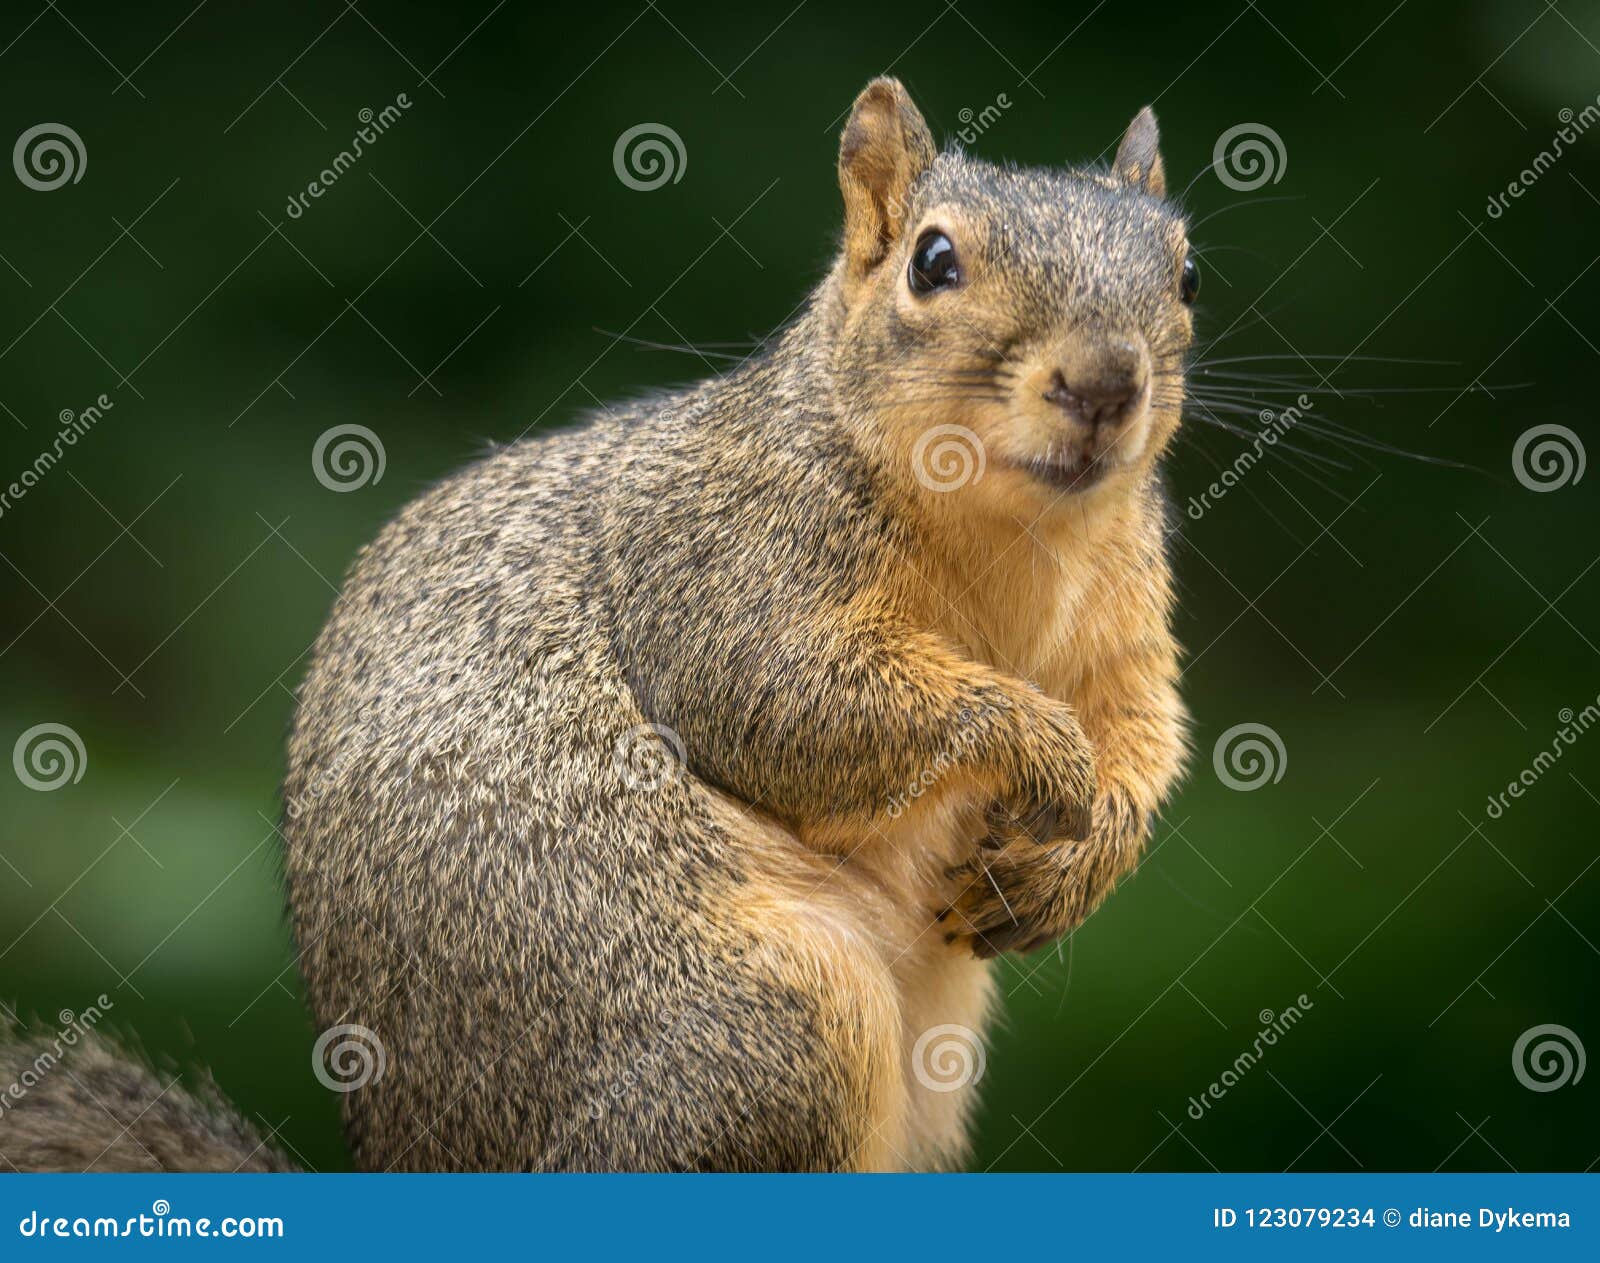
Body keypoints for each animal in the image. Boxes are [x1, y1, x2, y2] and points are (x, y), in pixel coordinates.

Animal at [1, 77, 1191, 1173]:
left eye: (1184, 274)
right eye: (932, 262)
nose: (1104, 383)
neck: (1019, 535)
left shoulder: (1124, 624)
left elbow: (1142, 733)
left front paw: (1092, 847)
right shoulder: (720, 564)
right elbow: (793, 699)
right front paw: (1034, 740)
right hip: (767, 1032)